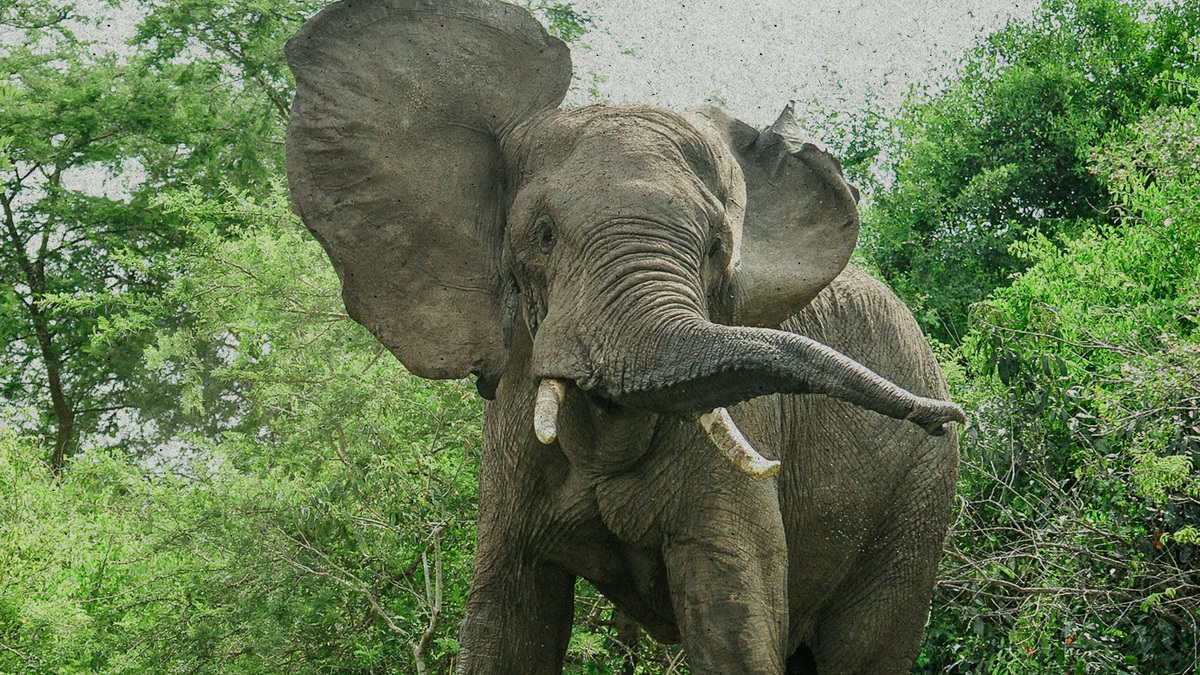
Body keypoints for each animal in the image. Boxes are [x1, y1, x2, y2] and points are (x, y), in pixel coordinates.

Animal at [284, 0, 963, 673]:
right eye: (543, 235)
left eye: (717, 248)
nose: (943, 416)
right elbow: (505, 621)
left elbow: (735, 618)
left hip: (916, 502)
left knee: (868, 643)